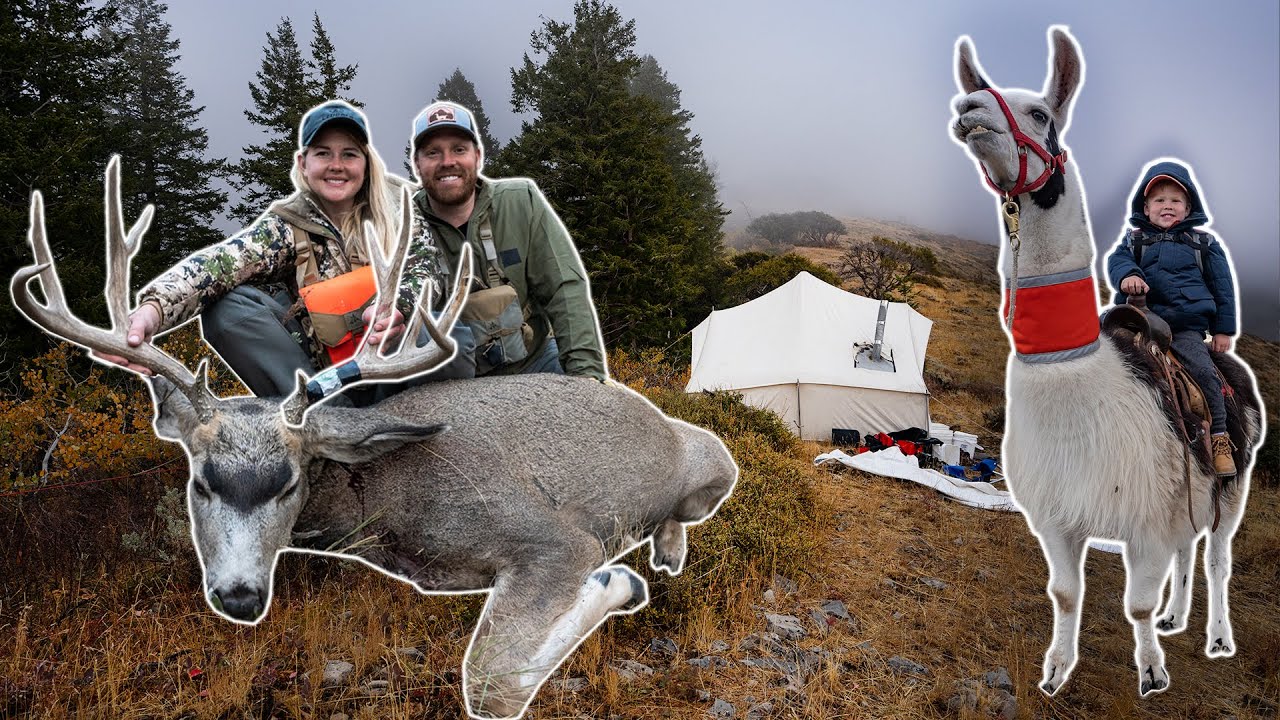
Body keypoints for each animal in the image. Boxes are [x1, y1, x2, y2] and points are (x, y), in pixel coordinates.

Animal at [11, 157, 738, 719]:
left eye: (291, 482)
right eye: (200, 481)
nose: (240, 597)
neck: (384, 502)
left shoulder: (555, 537)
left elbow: (491, 681)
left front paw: (618, 584)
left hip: (717, 464)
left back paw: (666, 553)